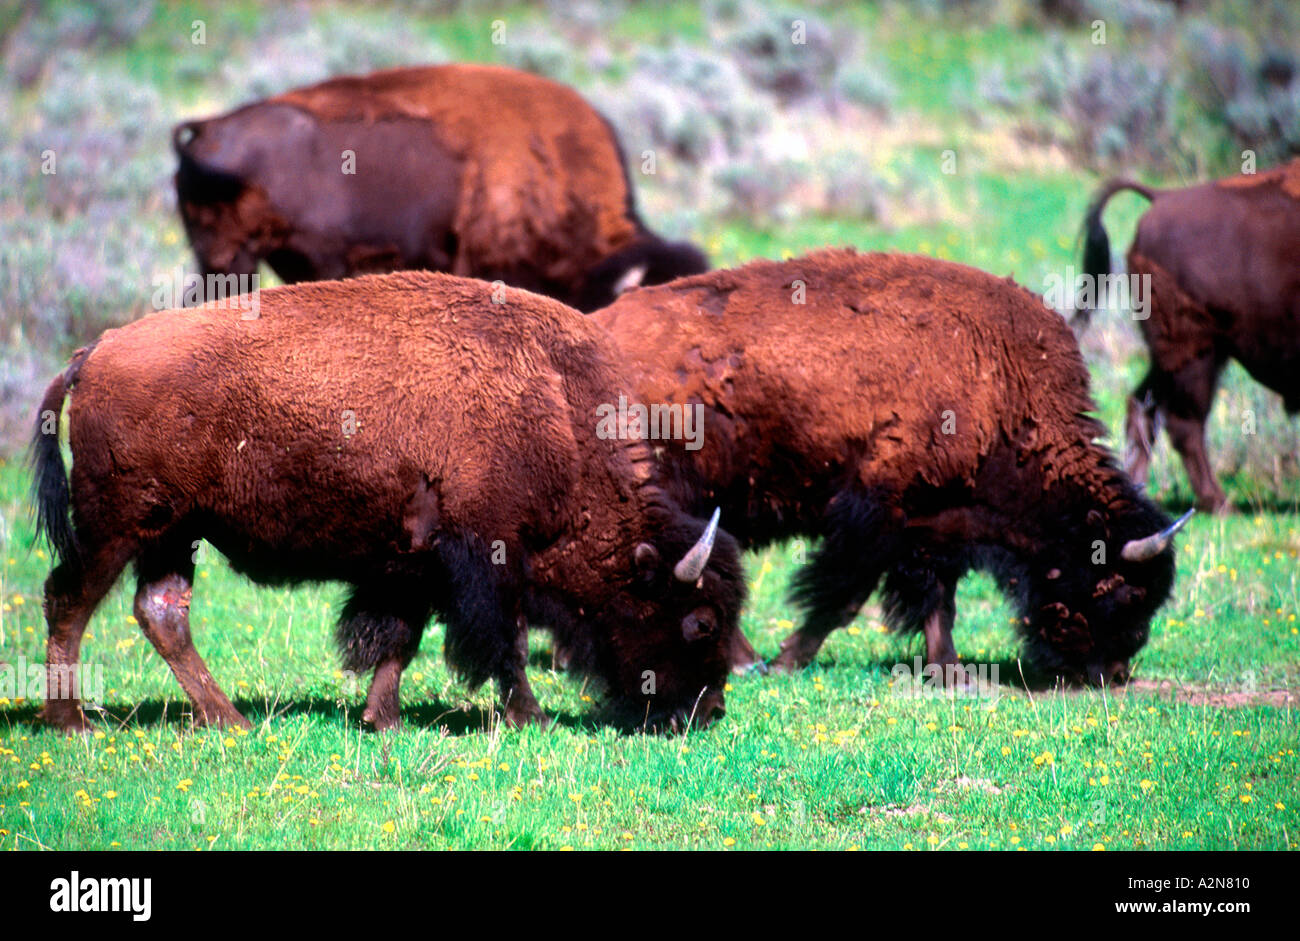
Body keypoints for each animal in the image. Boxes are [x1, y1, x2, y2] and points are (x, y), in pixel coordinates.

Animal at [31, 272, 744, 733]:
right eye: (701, 622)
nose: (706, 713)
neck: (557, 407)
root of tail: (95, 351)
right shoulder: (484, 559)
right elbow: (502, 643)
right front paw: (532, 718)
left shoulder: (414, 562)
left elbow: (399, 638)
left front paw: (383, 720)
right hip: (121, 526)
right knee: (69, 601)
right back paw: (72, 723)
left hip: (173, 533)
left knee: (161, 611)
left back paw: (228, 720)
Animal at [593, 249, 1188, 684]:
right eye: (1129, 593)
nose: (1113, 672)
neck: (1005, 389)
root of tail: (601, 329)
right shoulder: (875, 515)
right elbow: (843, 596)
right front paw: (788, 660)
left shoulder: (934, 524)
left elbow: (937, 599)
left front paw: (949, 670)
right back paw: (745, 661)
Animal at [1079, 158, 1300, 512]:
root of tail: (1163, 197)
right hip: (1197, 352)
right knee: (1184, 422)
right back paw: (1219, 503)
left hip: (1177, 355)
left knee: (1144, 406)